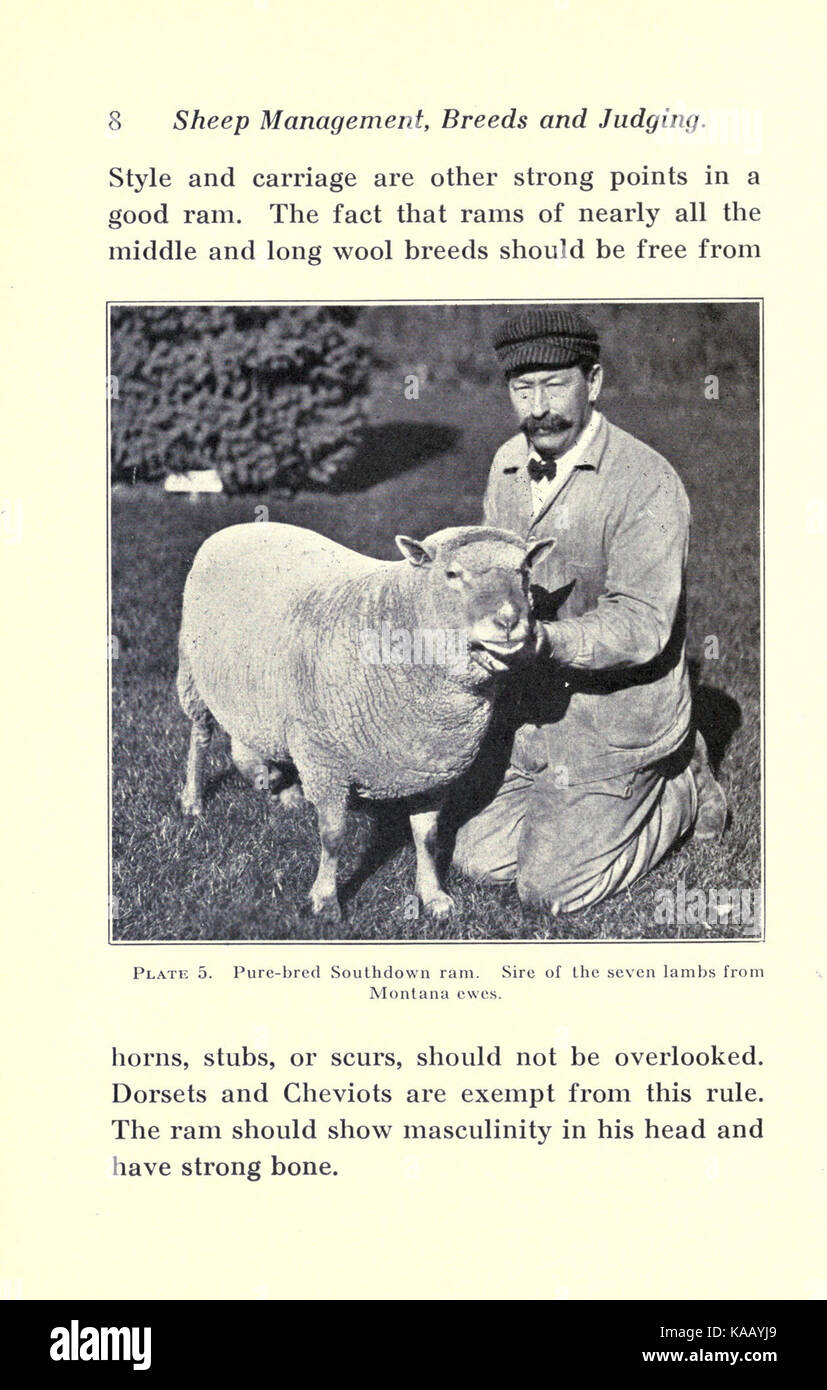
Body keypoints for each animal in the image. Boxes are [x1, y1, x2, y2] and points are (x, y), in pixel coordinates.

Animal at [176, 522, 553, 923]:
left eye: (524, 572)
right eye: (452, 574)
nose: (509, 620)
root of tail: (242, 527)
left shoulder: (430, 768)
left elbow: (428, 837)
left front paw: (433, 895)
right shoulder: (326, 760)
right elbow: (333, 836)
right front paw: (325, 900)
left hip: (256, 696)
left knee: (247, 745)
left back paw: (279, 787)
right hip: (193, 673)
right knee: (200, 737)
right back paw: (193, 800)